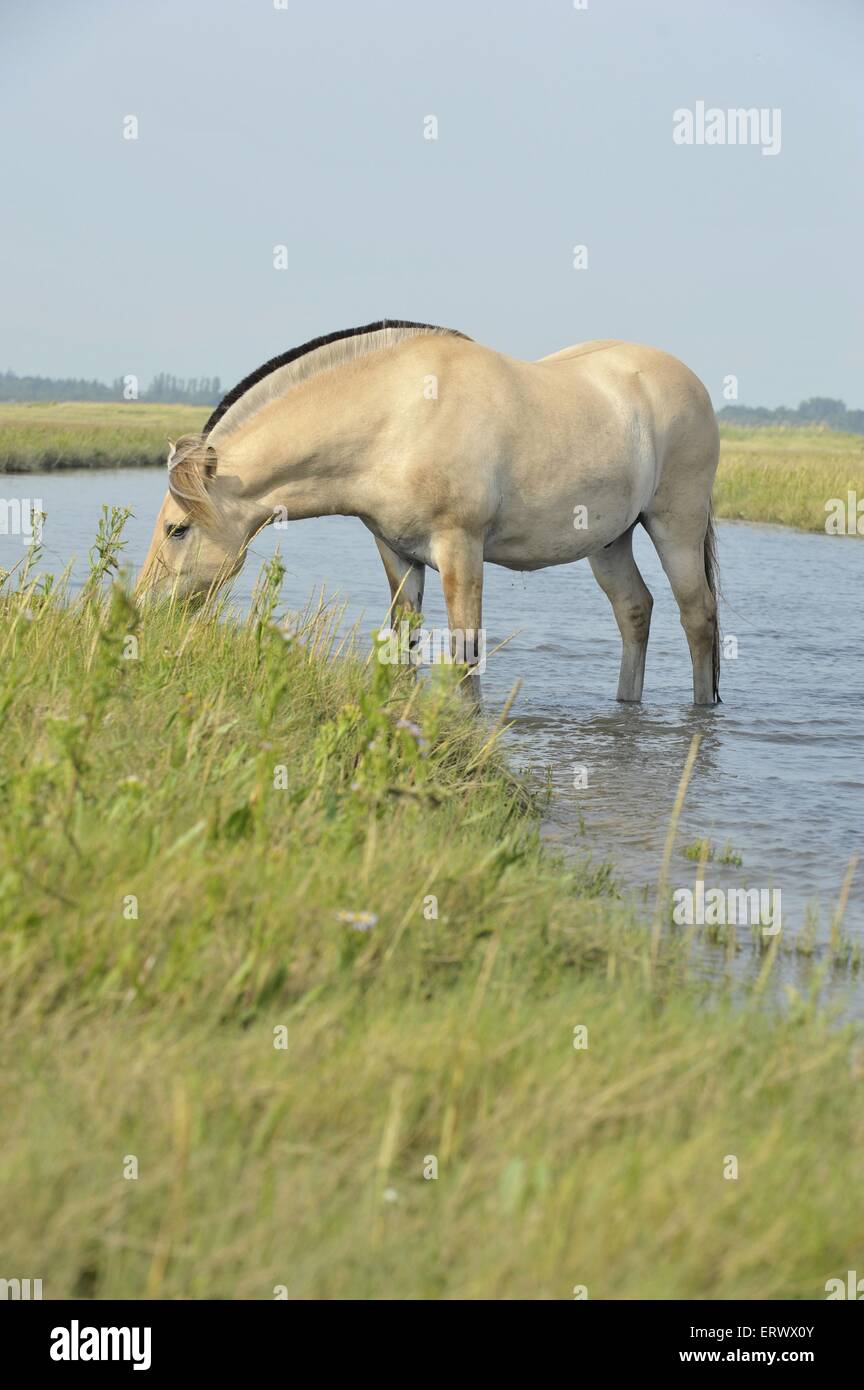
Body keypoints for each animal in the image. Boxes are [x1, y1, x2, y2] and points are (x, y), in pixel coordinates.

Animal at [137, 320, 721, 704]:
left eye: (177, 529)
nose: (147, 609)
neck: (398, 416)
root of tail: (689, 381)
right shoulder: (397, 553)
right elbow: (403, 644)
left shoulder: (461, 551)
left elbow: (465, 656)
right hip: (610, 540)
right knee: (635, 611)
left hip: (676, 526)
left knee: (699, 618)